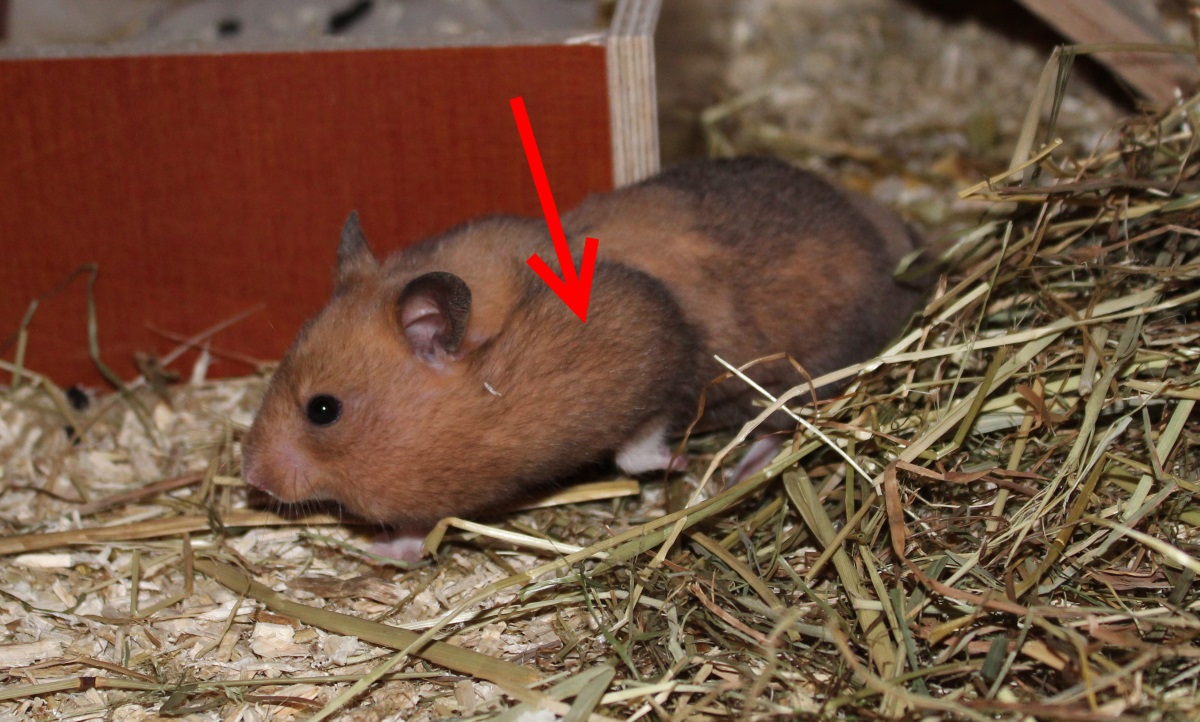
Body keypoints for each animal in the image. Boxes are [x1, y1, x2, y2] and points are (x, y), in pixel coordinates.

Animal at [240, 156, 924, 553]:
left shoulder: (660, 356)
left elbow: (636, 448)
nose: (250, 477)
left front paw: (679, 464)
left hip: (812, 363)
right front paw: (383, 552)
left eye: (323, 410)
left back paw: (742, 466)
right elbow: (418, 527)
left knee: (792, 417)